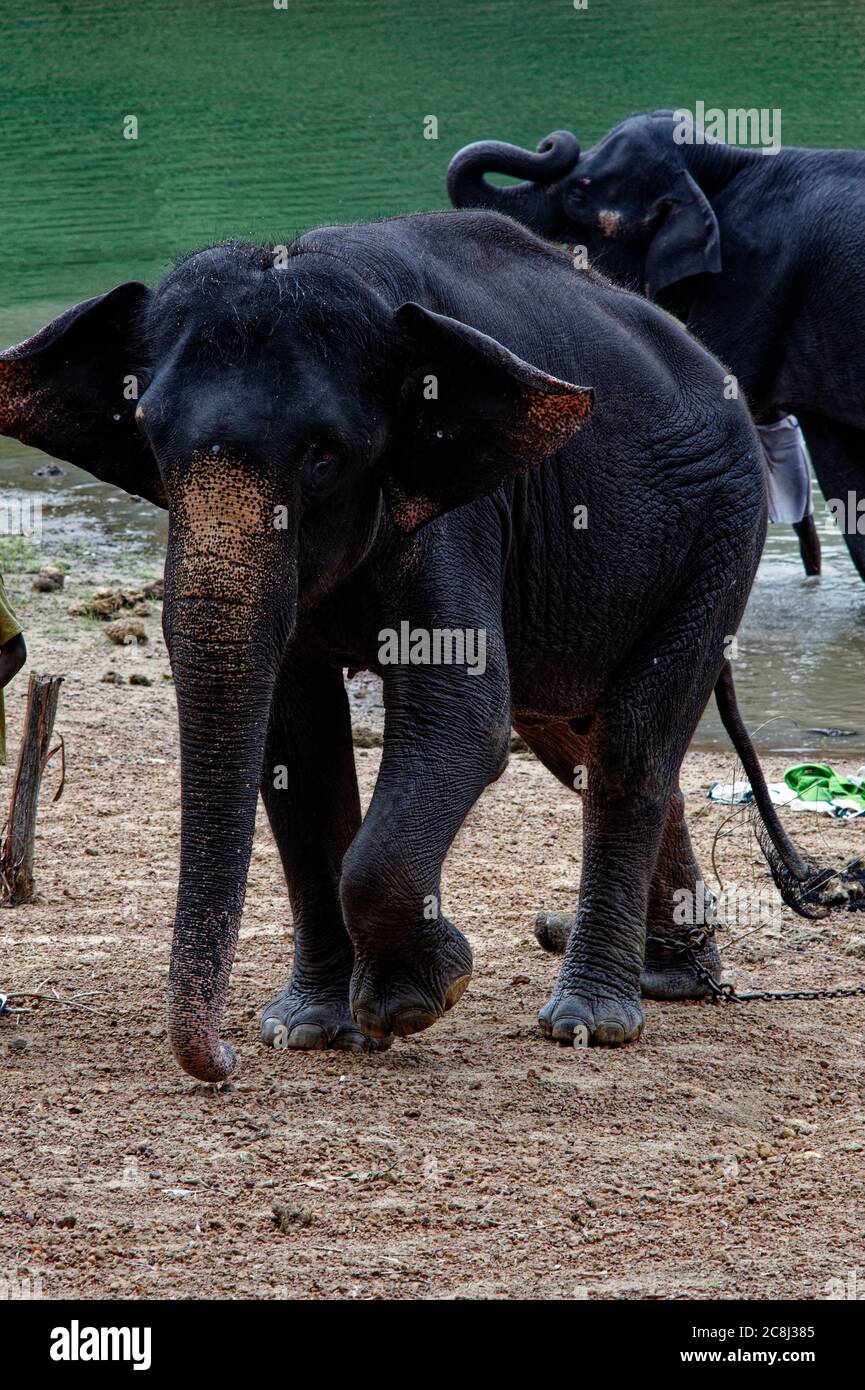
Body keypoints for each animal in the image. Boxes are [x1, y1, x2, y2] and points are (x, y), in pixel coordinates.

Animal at [0, 209, 818, 1082]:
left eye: (325, 456)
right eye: (150, 441)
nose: (223, 1057)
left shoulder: (462, 513)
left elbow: (462, 719)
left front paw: (414, 1002)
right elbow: (295, 745)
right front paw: (306, 1029)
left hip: (722, 530)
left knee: (631, 748)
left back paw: (590, 1020)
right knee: (580, 743)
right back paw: (673, 977)